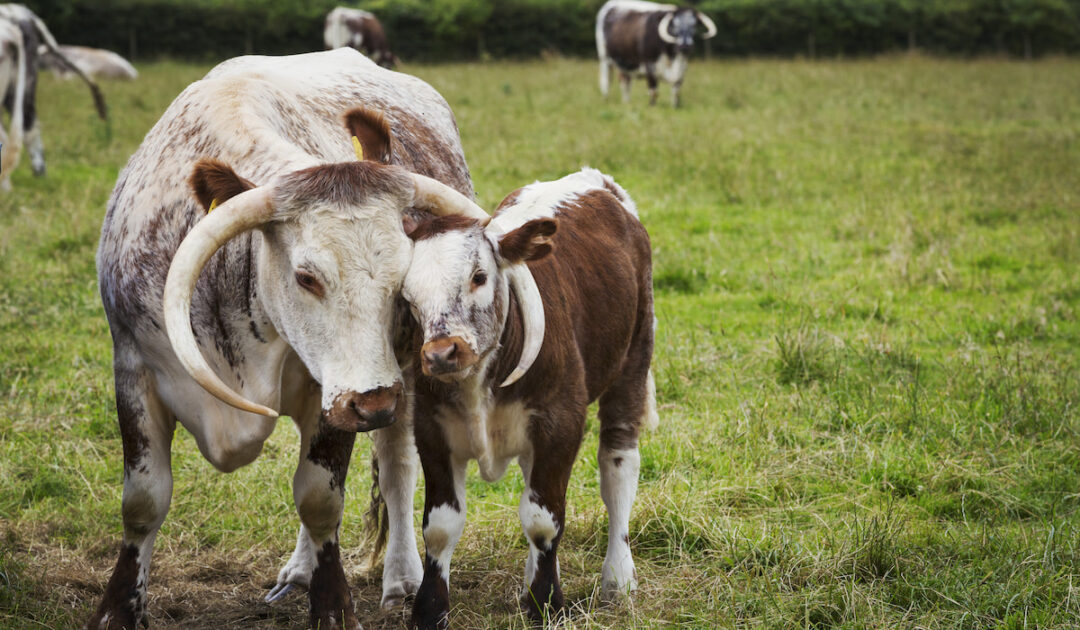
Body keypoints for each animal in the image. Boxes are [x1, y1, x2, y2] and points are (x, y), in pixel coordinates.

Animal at [90, 47, 545, 630]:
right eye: (306, 277)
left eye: (403, 278)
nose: (376, 402)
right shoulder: (134, 368)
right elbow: (143, 501)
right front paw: (118, 609)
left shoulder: (343, 397)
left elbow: (320, 497)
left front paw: (333, 606)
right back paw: (300, 570)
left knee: (395, 469)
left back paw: (400, 577)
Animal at [401, 168, 658, 628]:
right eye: (409, 296)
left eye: (478, 276)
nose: (441, 354)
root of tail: (596, 181)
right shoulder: (431, 429)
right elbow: (440, 526)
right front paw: (429, 610)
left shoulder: (561, 423)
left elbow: (543, 520)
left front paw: (546, 603)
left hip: (632, 363)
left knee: (618, 467)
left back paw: (617, 578)